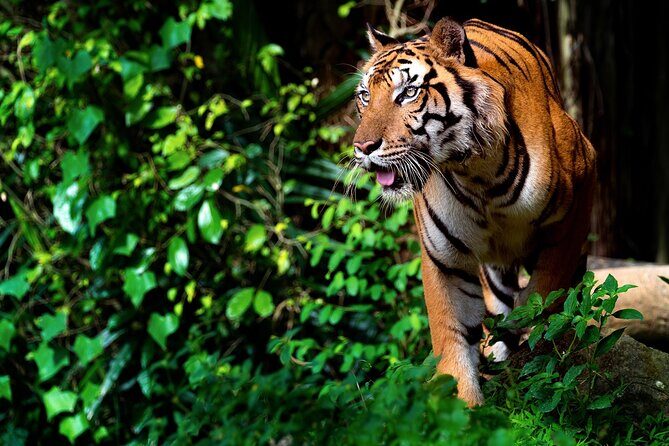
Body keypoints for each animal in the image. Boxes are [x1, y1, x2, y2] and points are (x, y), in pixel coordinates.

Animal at [351, 17, 596, 406]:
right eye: (364, 96)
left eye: (408, 93)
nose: (362, 147)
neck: (477, 173)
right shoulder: (444, 259)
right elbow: (451, 335)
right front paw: (464, 409)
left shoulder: (580, 191)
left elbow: (547, 287)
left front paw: (533, 322)